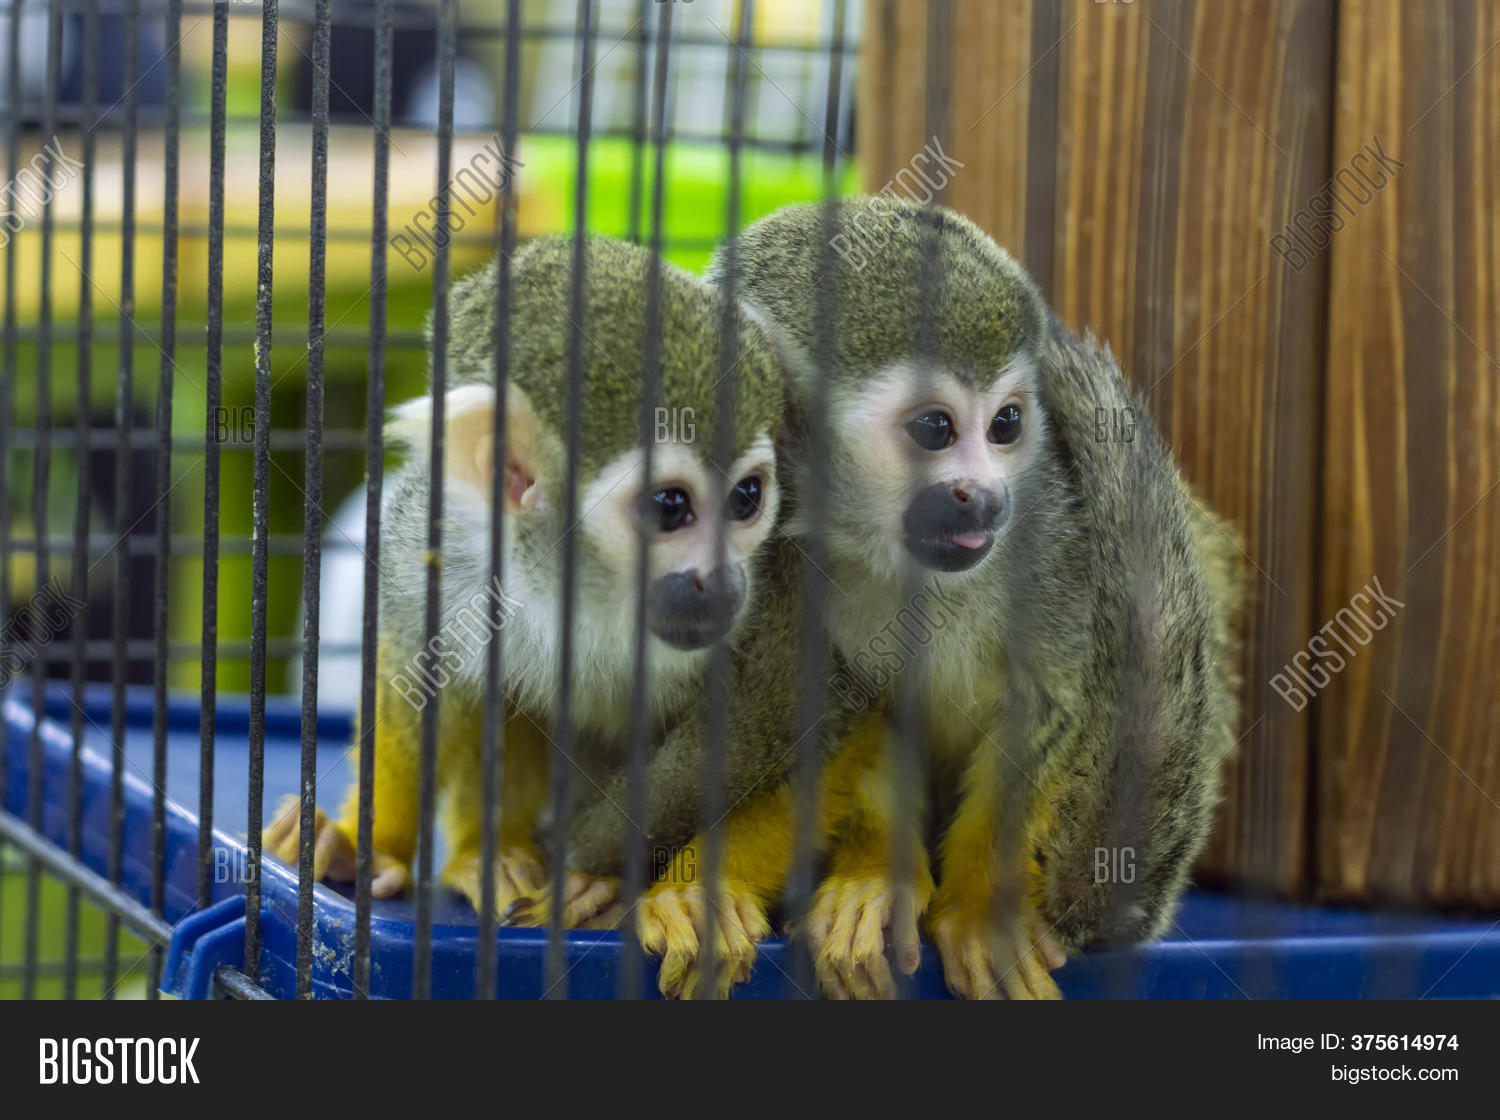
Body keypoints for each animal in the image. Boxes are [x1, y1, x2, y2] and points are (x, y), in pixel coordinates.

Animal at [263, 235, 791, 928]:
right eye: (670, 508)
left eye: (747, 497)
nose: (724, 581)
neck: (578, 581)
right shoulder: (443, 536)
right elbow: (417, 670)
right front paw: (361, 844)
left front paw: (696, 895)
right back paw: (487, 857)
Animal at [568, 195, 1241, 1000]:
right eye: (934, 428)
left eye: (1006, 424)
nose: (984, 495)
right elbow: (828, 720)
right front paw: (725, 888)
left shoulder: (1051, 526)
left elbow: (1046, 702)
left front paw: (982, 911)